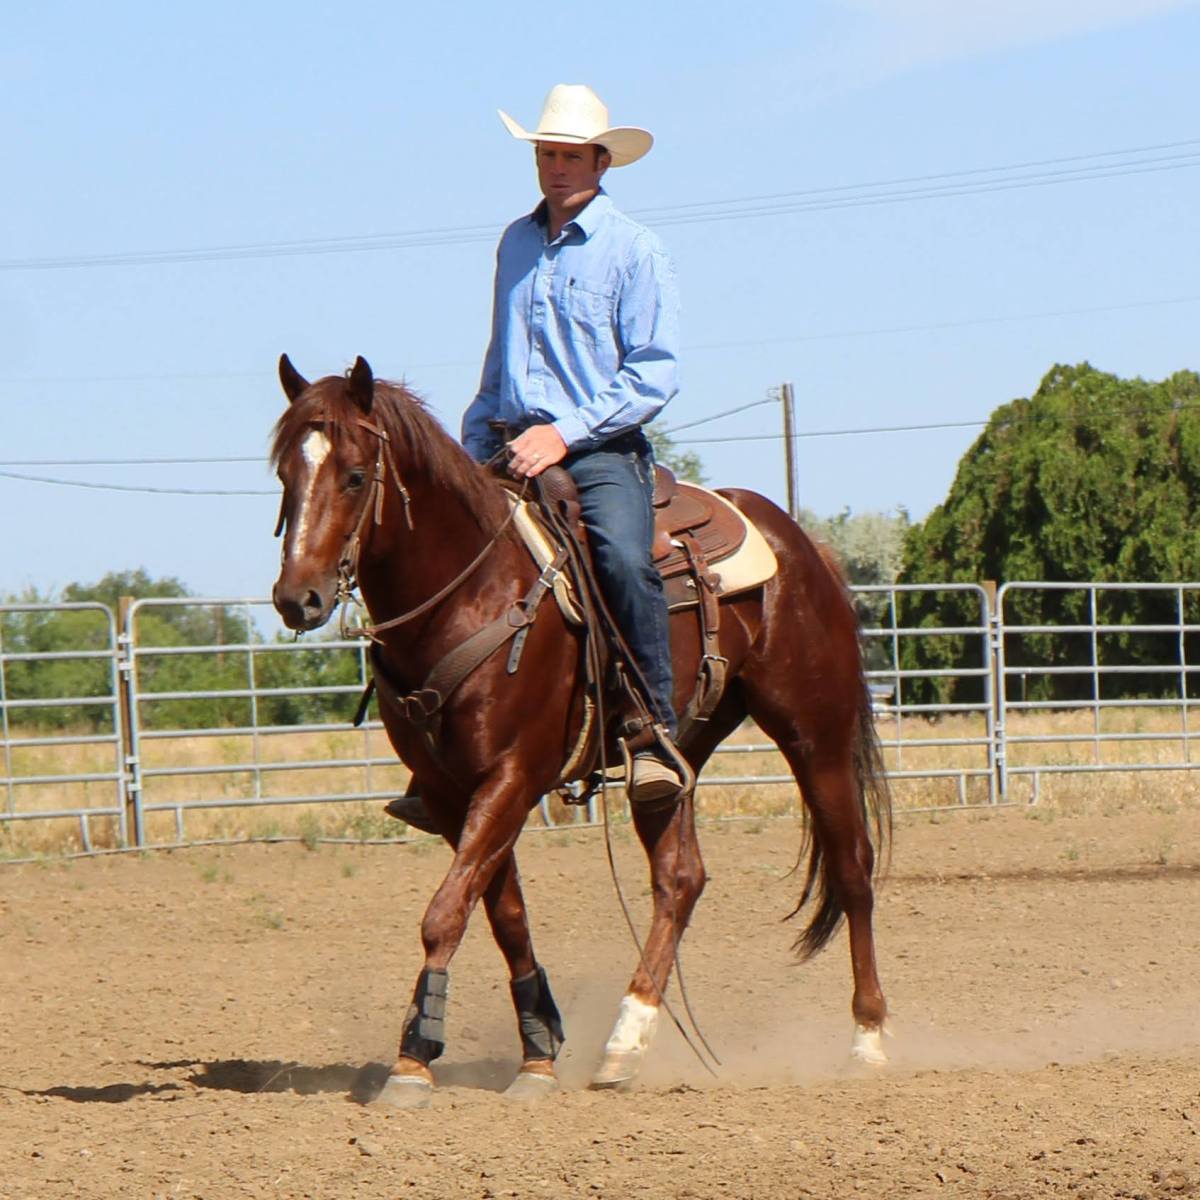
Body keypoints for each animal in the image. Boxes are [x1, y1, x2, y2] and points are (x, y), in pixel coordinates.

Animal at [270, 354, 891, 1106]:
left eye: (356, 475)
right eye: (285, 474)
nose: (297, 598)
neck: (471, 595)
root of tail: (799, 541)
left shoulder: (513, 775)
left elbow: (445, 911)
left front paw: (413, 1059)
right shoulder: (451, 794)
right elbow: (501, 914)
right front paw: (538, 1049)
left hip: (814, 733)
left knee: (853, 868)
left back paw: (867, 1040)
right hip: (674, 752)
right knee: (679, 878)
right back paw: (625, 1040)